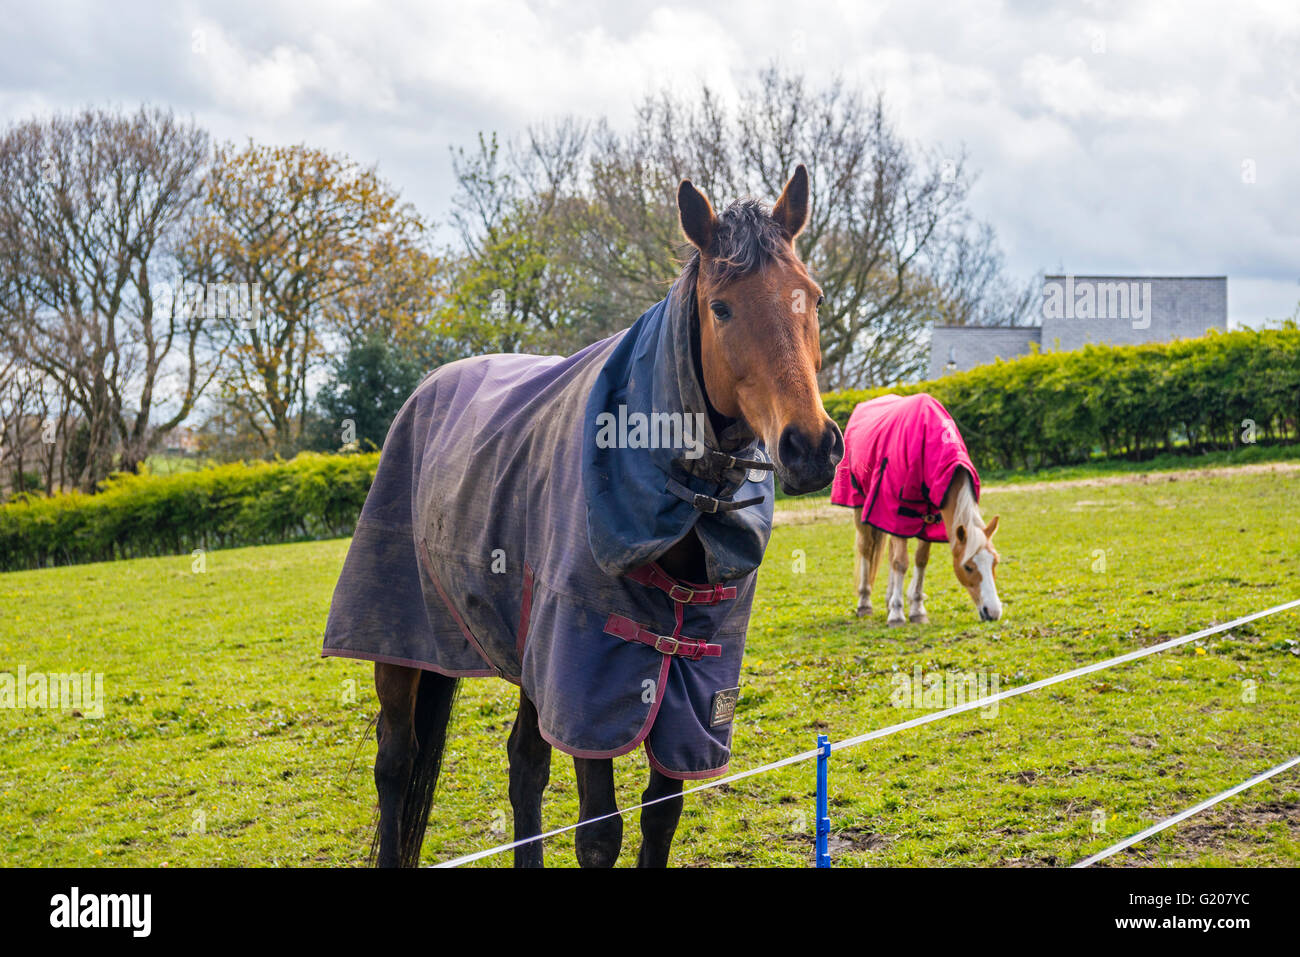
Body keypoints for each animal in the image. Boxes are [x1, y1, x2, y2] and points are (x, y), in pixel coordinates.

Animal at [322, 165, 843, 867]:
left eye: (811, 297)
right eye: (721, 307)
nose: (810, 446)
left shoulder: (685, 686)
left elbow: (660, 815)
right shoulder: (592, 681)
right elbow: (600, 834)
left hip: (533, 660)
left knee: (523, 767)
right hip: (402, 644)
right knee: (396, 766)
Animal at [829, 392, 1002, 625]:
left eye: (995, 562)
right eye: (968, 566)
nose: (993, 612)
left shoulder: (931, 516)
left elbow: (920, 560)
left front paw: (916, 608)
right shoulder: (895, 510)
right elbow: (901, 562)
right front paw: (897, 614)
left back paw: (889, 598)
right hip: (862, 506)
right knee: (867, 548)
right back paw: (865, 603)